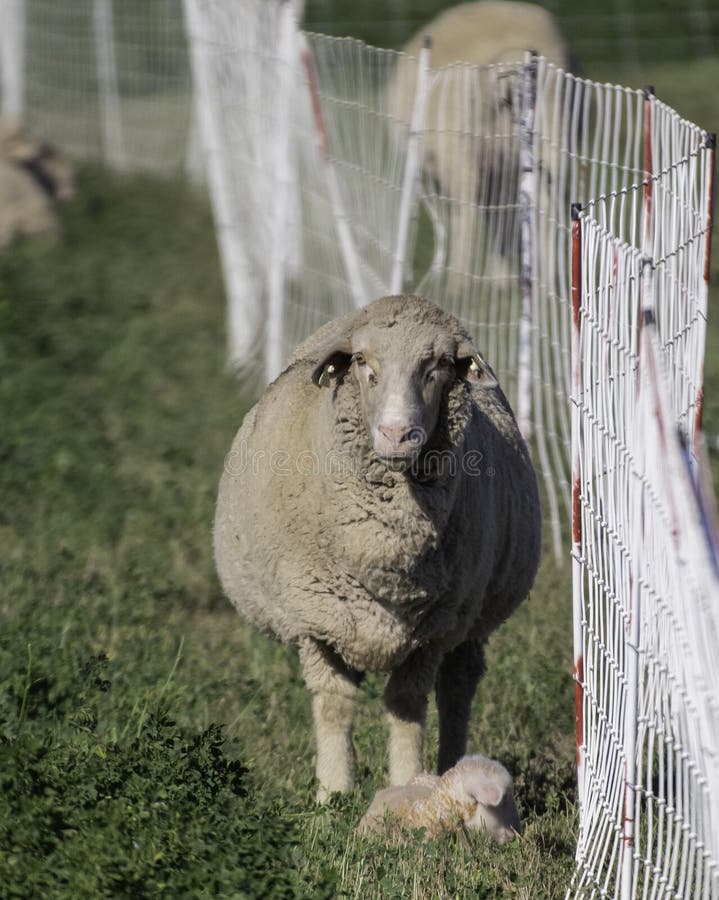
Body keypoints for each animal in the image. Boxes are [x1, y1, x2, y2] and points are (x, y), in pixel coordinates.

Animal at [214, 294, 541, 801]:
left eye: (440, 365)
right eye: (363, 362)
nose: (396, 434)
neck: (385, 542)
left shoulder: (433, 628)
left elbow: (406, 705)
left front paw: (407, 784)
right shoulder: (317, 620)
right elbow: (335, 703)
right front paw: (332, 793)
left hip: (472, 618)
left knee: (457, 689)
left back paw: (454, 771)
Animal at [386, 1, 572, 293]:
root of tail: (511, 60)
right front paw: (503, 279)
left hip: (457, 145)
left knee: (468, 212)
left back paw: (458, 286)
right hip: (550, 132)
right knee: (545, 204)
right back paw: (545, 283)